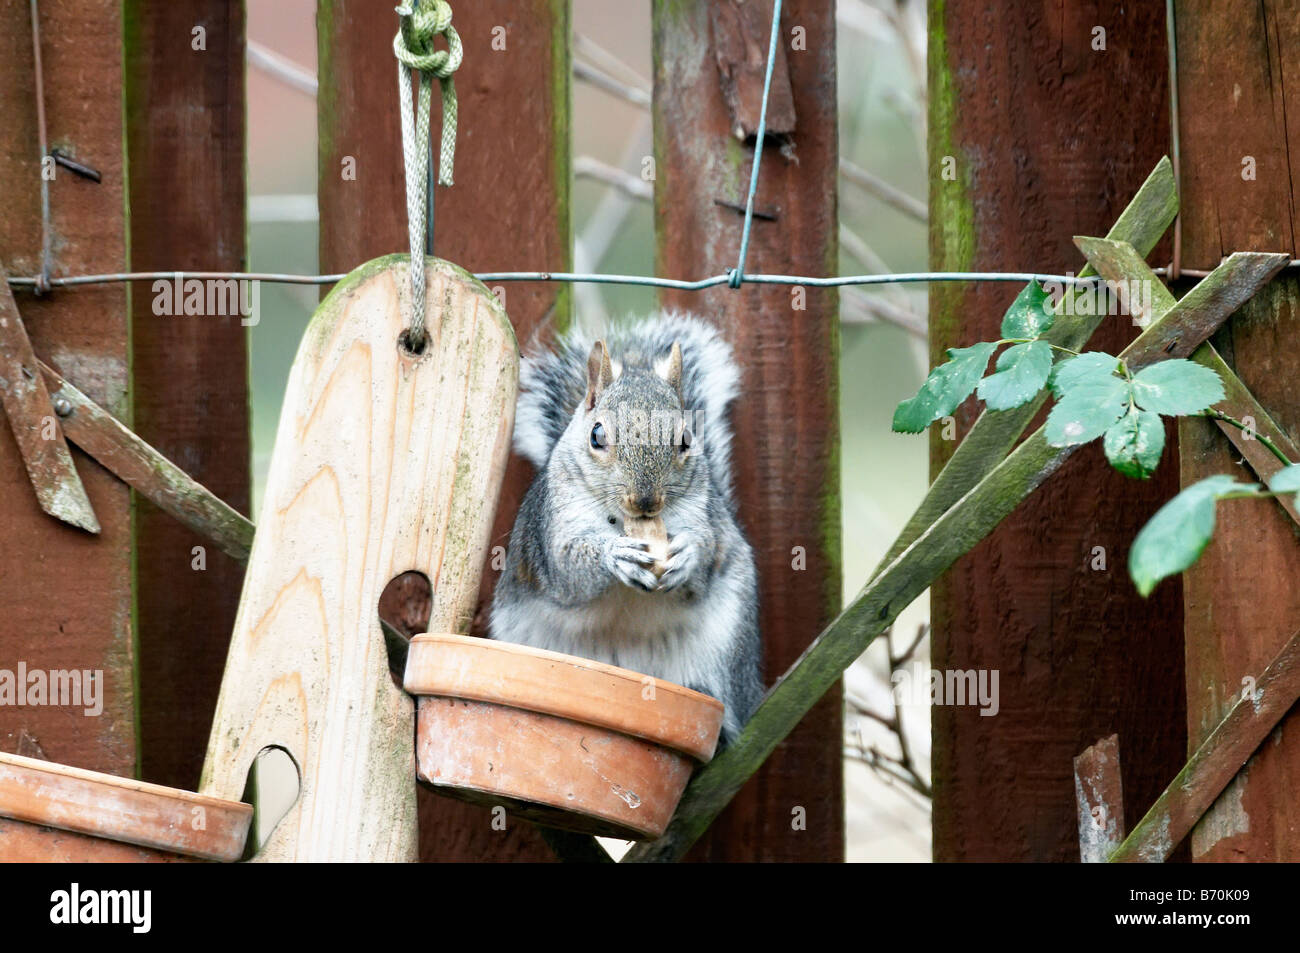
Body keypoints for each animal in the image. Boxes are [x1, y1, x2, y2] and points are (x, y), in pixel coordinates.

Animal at [489, 312, 763, 744]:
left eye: (686, 439)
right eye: (597, 435)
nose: (646, 500)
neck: (623, 521)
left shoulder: (705, 515)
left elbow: (706, 551)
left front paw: (688, 555)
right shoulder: (553, 528)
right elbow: (568, 569)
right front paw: (615, 556)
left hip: (728, 647)